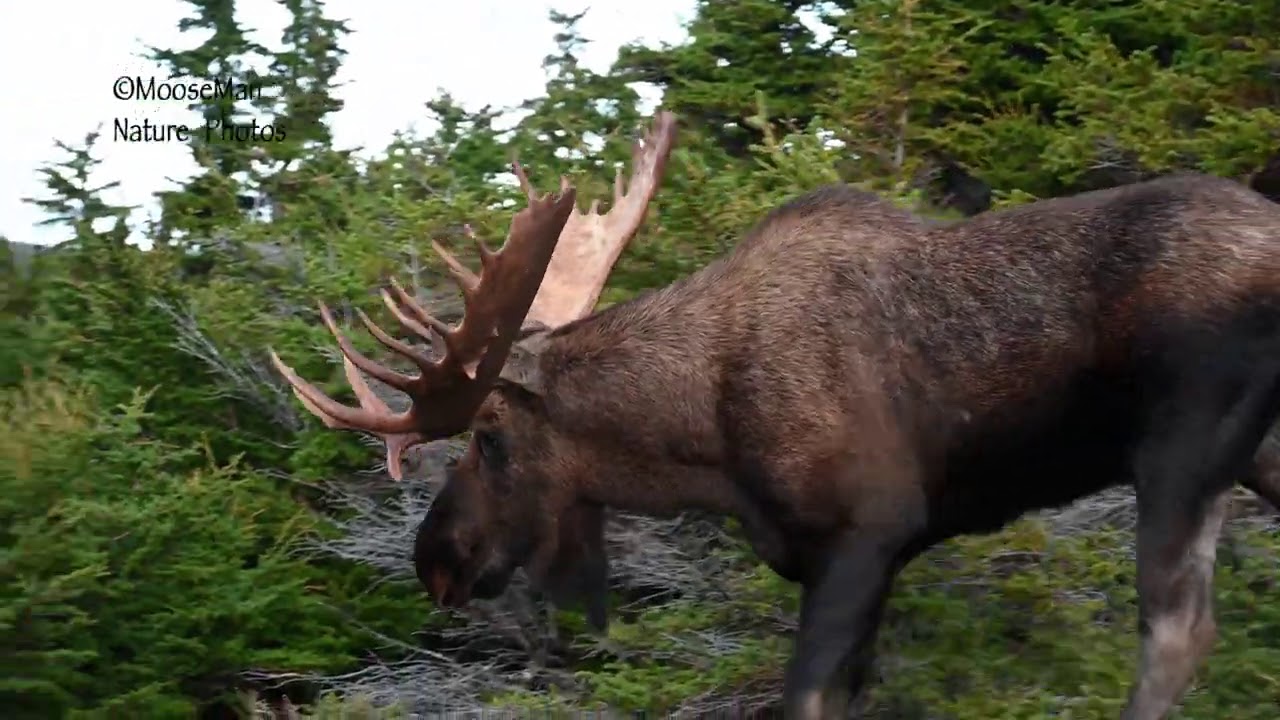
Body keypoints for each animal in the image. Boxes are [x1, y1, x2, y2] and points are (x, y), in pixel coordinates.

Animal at [269, 110, 1280, 719]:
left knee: (1179, 630)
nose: (434, 560)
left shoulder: (868, 531)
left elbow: (801, 700)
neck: (702, 444)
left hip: (1182, 442)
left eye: (489, 438)